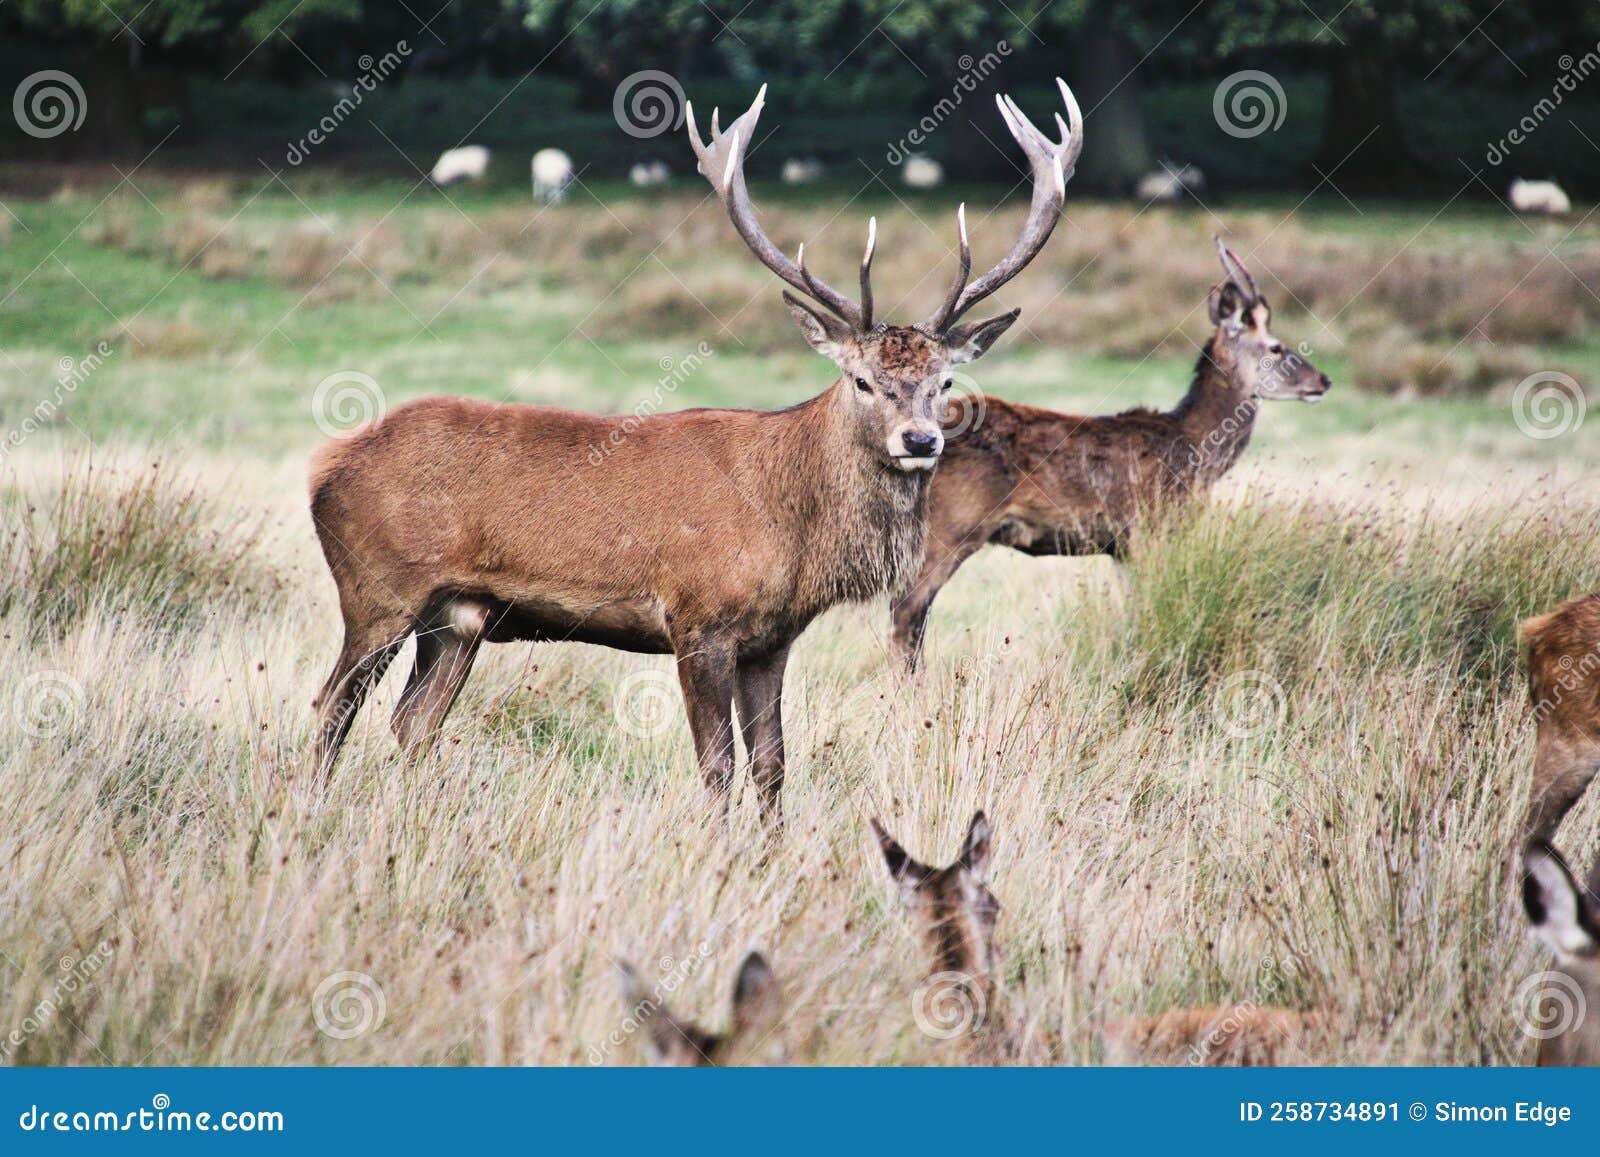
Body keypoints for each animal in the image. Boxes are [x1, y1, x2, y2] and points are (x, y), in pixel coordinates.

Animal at [307, 81, 1083, 832]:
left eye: (944, 381)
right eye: (862, 380)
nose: (921, 441)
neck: (793, 530)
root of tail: (325, 465)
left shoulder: (771, 639)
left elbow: (772, 764)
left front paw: (772, 855)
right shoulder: (697, 618)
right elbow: (719, 766)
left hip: (458, 617)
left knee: (413, 721)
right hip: (379, 589)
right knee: (331, 707)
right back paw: (309, 810)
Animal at [889, 239, 1331, 669]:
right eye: (1275, 347)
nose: (1323, 380)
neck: (1196, 450)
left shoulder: (1121, 547)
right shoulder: (1151, 528)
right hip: (949, 527)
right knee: (905, 614)